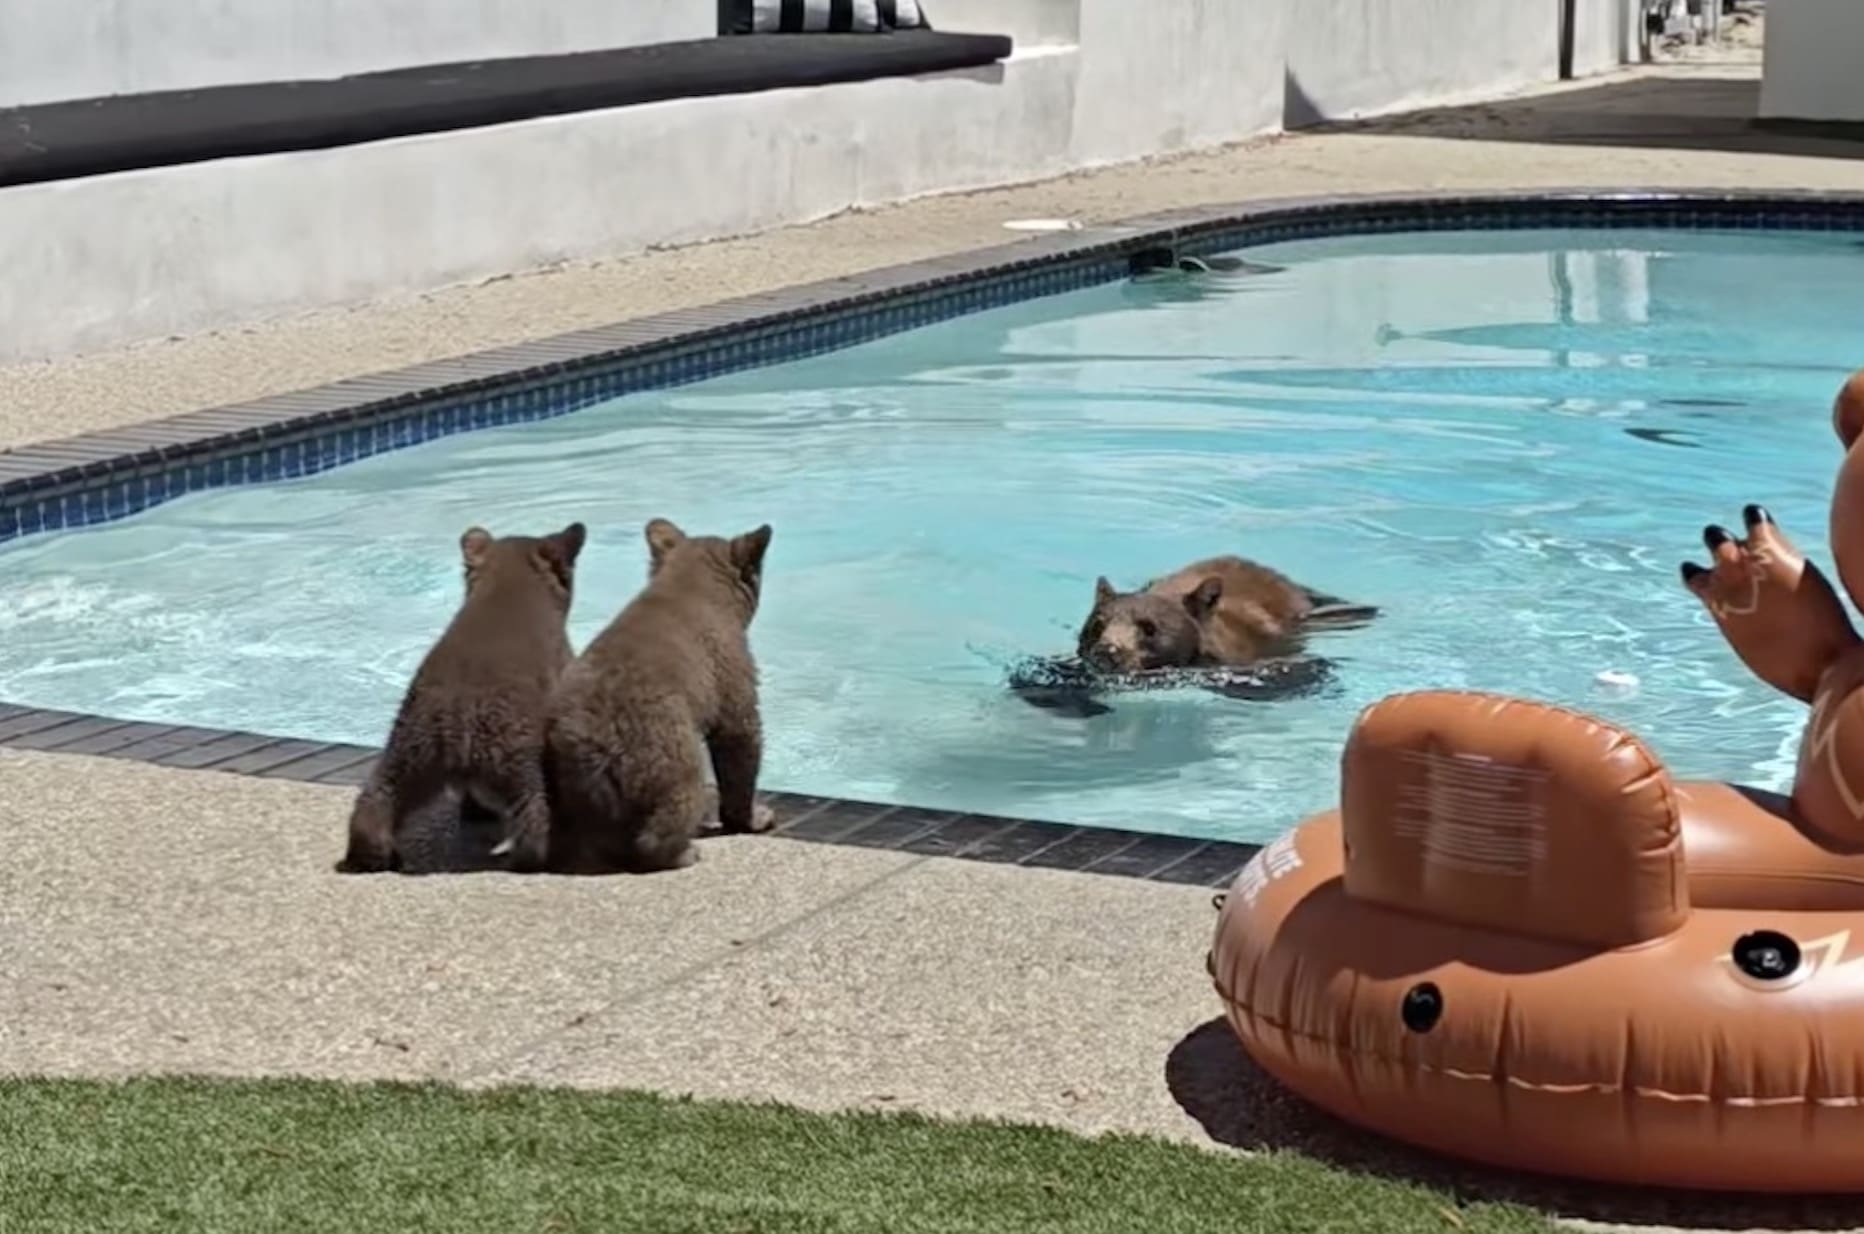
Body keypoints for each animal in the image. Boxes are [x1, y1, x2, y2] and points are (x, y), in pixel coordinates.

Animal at [335, 521, 586, 875]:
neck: (508, 584)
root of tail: (458, 724)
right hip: (521, 756)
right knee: (535, 812)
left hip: (411, 751)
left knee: (380, 796)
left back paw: (371, 854)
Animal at [543, 517, 776, 875]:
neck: (691, 587)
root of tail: (596, 742)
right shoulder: (730, 671)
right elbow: (740, 740)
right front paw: (753, 817)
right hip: (667, 748)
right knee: (676, 801)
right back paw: (682, 852)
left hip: (577, 777)